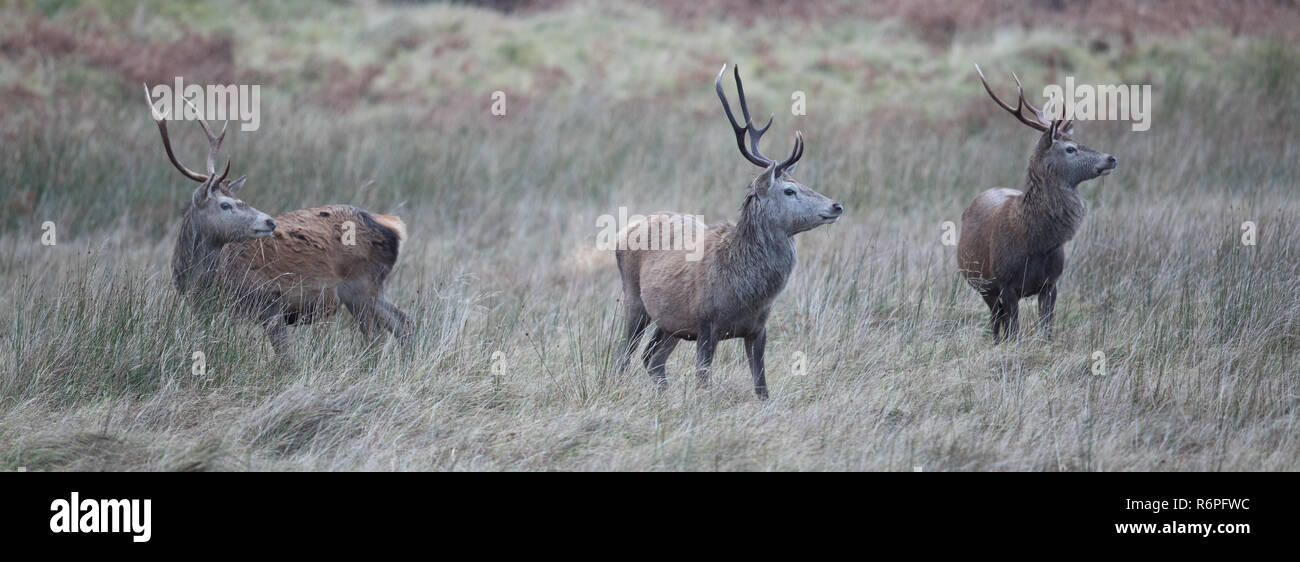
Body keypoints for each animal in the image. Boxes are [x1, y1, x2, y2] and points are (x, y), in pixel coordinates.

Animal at [144, 85, 411, 361]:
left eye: (240, 200)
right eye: (225, 205)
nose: (270, 221)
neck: (204, 282)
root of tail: (394, 226)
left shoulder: (269, 302)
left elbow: (285, 359)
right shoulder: (204, 311)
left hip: (359, 284)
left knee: (376, 336)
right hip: (371, 288)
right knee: (403, 322)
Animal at [614, 64, 844, 400]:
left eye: (802, 184)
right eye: (789, 190)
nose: (837, 206)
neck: (745, 293)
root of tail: (624, 231)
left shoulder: (758, 328)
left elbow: (762, 388)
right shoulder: (706, 322)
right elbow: (703, 382)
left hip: (671, 323)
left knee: (652, 357)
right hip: (635, 299)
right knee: (624, 355)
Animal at [956, 65, 1118, 343]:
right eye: (1070, 149)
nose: (1111, 158)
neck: (1035, 242)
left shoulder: (1051, 283)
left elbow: (1047, 329)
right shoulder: (1005, 283)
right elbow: (1015, 331)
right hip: (983, 286)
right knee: (996, 321)